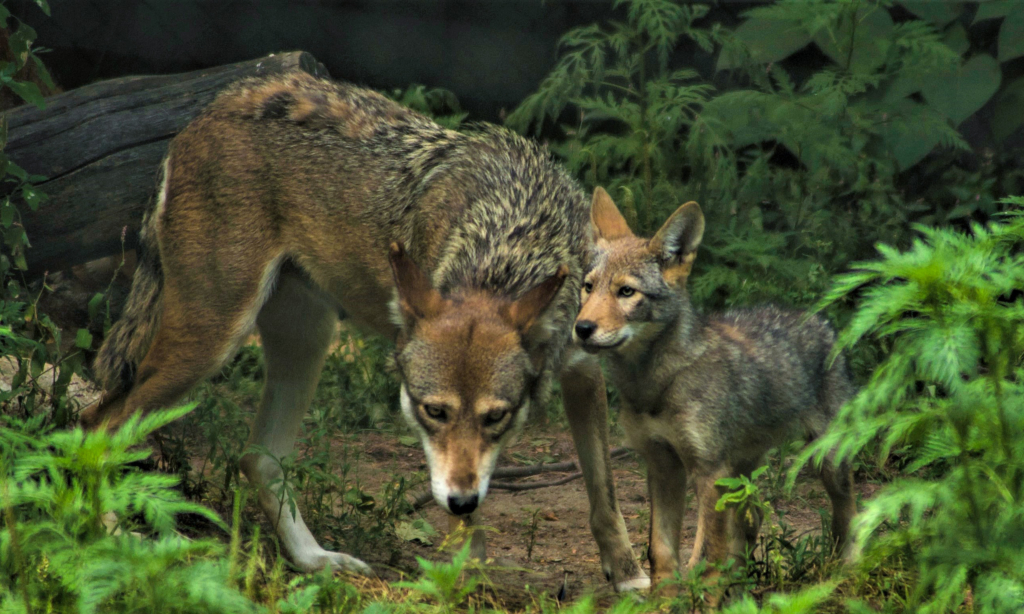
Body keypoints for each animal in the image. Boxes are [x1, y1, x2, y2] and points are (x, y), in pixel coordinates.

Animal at [77, 72, 648, 589]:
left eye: (497, 417)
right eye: (433, 412)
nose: (460, 498)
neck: (513, 237)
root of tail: (207, 113)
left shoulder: (583, 372)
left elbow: (605, 494)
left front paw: (628, 575)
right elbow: (473, 525)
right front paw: (468, 579)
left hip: (308, 339)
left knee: (257, 457)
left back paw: (315, 561)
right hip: (212, 340)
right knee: (97, 424)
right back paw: (113, 540)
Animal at [572, 188, 856, 588]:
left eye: (626, 291)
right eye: (588, 287)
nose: (582, 328)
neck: (655, 384)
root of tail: (819, 319)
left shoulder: (708, 471)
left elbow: (710, 559)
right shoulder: (663, 465)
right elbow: (662, 554)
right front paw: (665, 599)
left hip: (826, 461)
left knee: (849, 511)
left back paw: (850, 566)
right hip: (742, 471)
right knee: (753, 520)